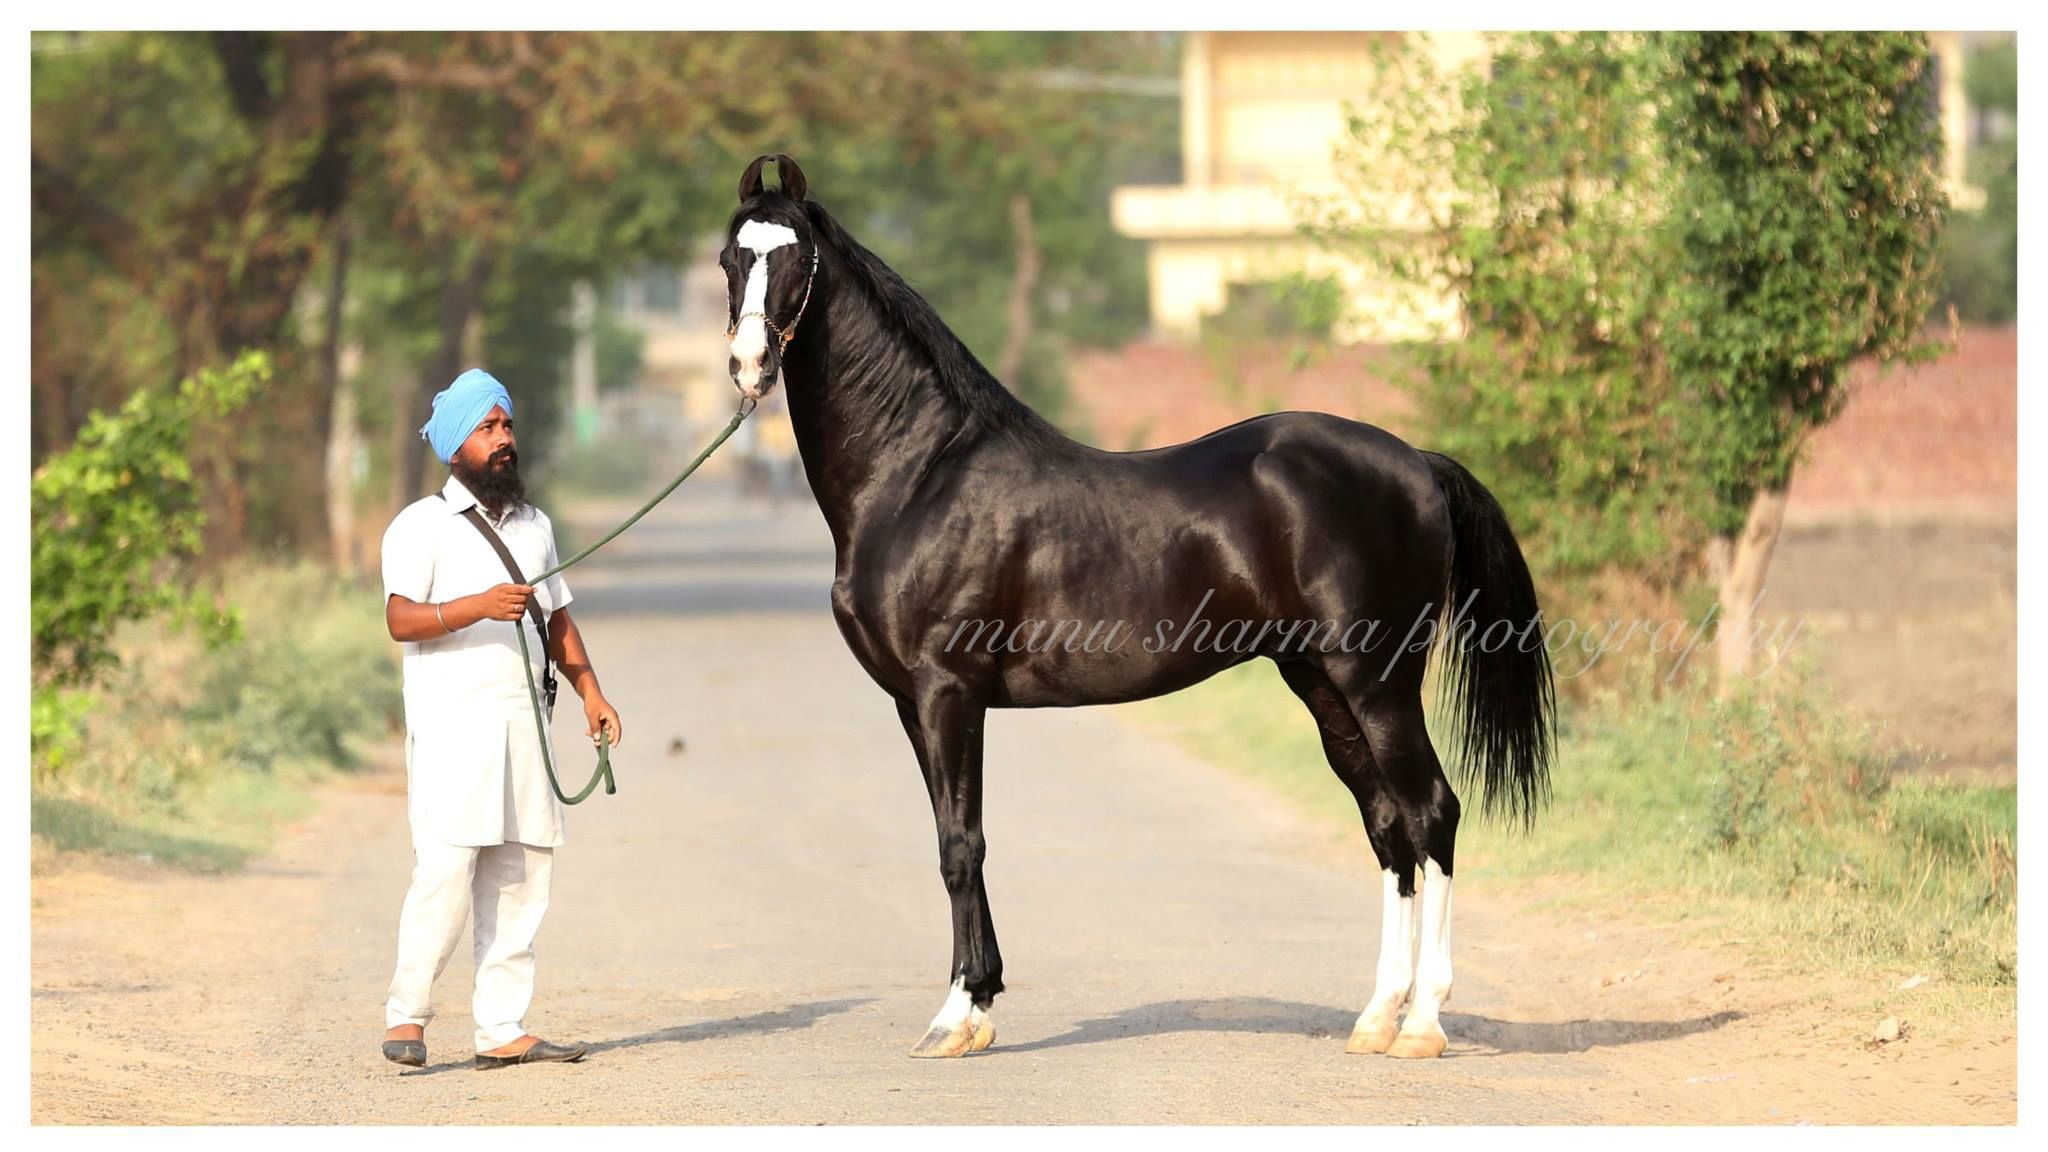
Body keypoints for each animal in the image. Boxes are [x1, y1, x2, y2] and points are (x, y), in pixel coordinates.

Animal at [717, 153, 1555, 1060]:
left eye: (797, 261)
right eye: (731, 259)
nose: (748, 364)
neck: (920, 476)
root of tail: (1417, 462)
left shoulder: (949, 693)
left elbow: (960, 844)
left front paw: (957, 1015)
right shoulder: (914, 703)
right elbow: (955, 838)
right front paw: (980, 999)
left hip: (1380, 683)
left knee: (1432, 813)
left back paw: (1424, 1023)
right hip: (1323, 686)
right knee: (1390, 827)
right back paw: (1376, 1017)